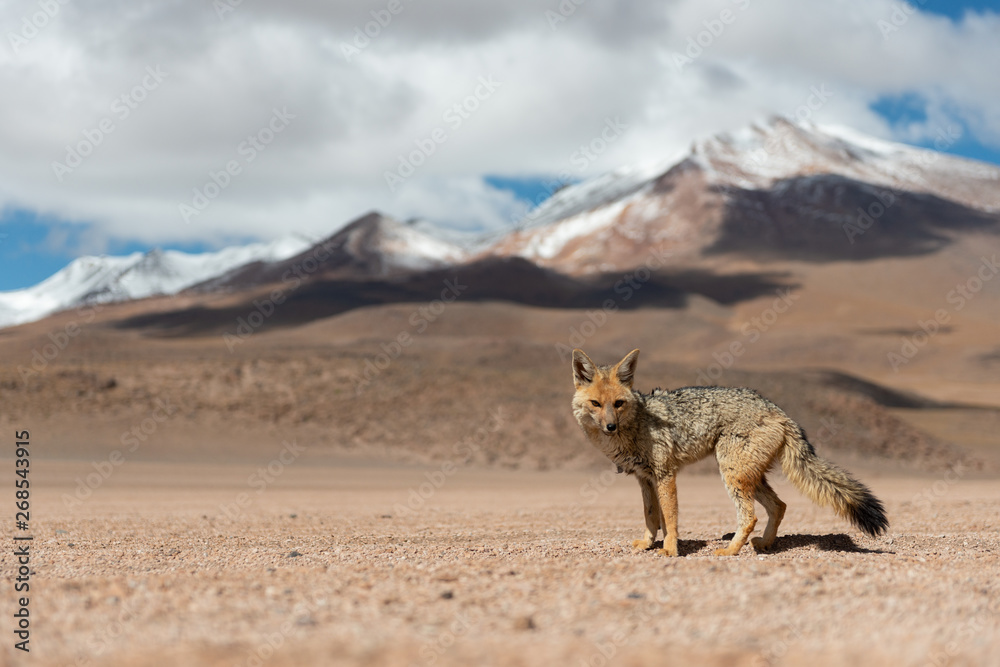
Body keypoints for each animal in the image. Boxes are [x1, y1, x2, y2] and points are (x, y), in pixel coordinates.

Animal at [571, 348, 888, 557]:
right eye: (596, 404)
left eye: (619, 403)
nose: (610, 426)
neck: (637, 423)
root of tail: (779, 411)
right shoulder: (644, 478)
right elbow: (651, 515)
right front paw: (648, 543)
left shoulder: (664, 475)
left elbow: (669, 517)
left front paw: (670, 549)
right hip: (748, 475)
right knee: (779, 505)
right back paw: (765, 544)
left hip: (732, 473)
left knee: (750, 516)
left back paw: (731, 550)